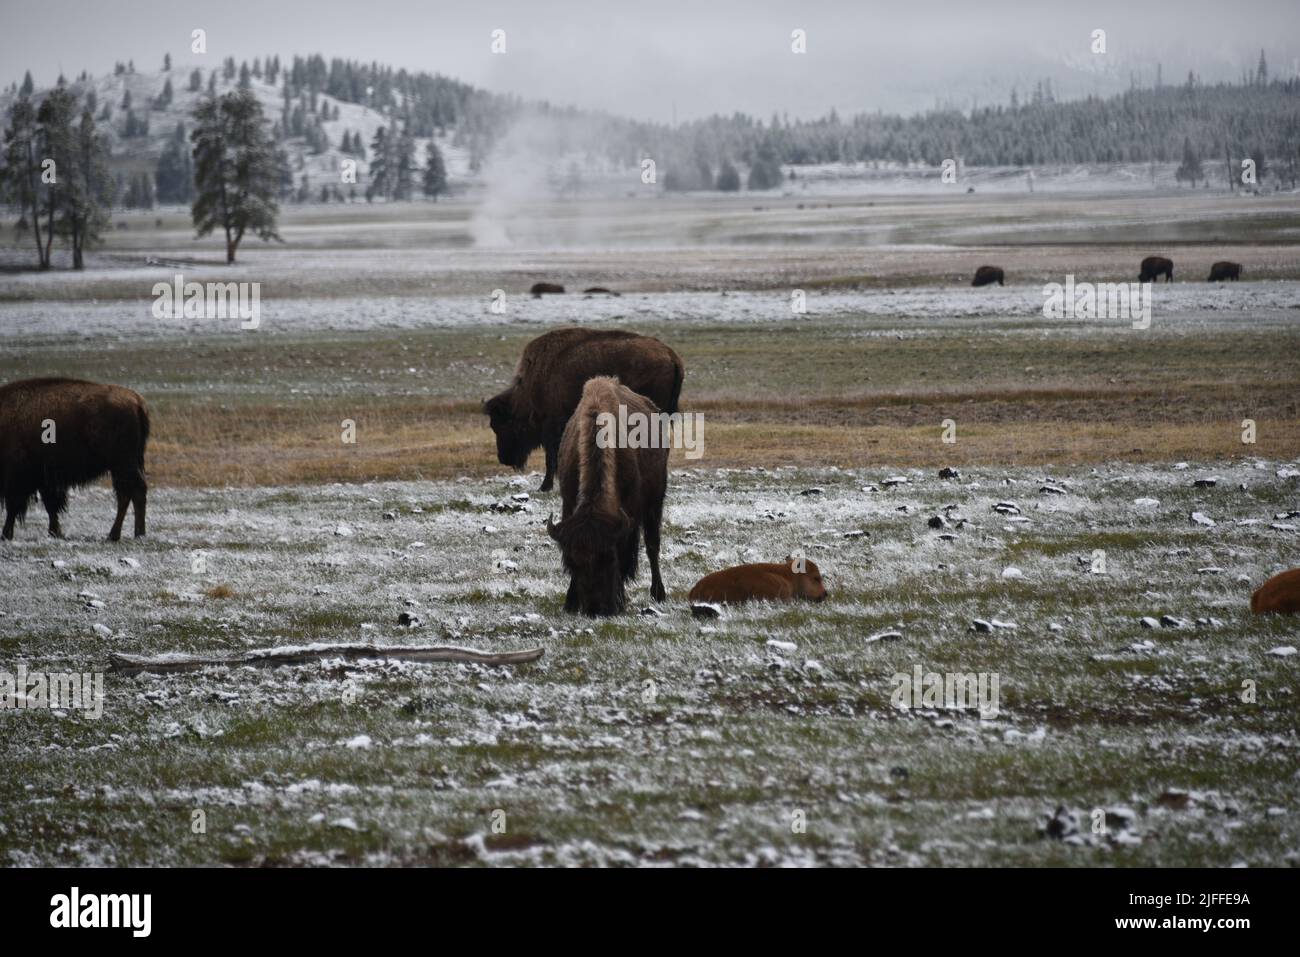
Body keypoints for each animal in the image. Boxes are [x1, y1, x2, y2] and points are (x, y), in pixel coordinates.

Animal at [1, 378, 150, 541]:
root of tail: (137, 401)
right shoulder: (45, 479)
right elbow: (50, 505)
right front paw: (55, 532)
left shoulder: (20, 477)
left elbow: (14, 506)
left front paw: (6, 534)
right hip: (123, 465)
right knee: (128, 493)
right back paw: (123, 534)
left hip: (122, 464)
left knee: (133, 491)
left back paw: (128, 534)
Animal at [484, 328, 684, 492]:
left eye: (501, 425)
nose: (504, 458)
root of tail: (671, 355)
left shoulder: (552, 427)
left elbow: (551, 458)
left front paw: (545, 486)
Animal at [546, 376, 668, 616]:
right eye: (573, 563)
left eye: (609, 558)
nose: (596, 609)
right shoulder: (568, 503)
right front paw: (570, 602)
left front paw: (619, 600)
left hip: (655, 502)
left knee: (652, 545)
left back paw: (658, 593)